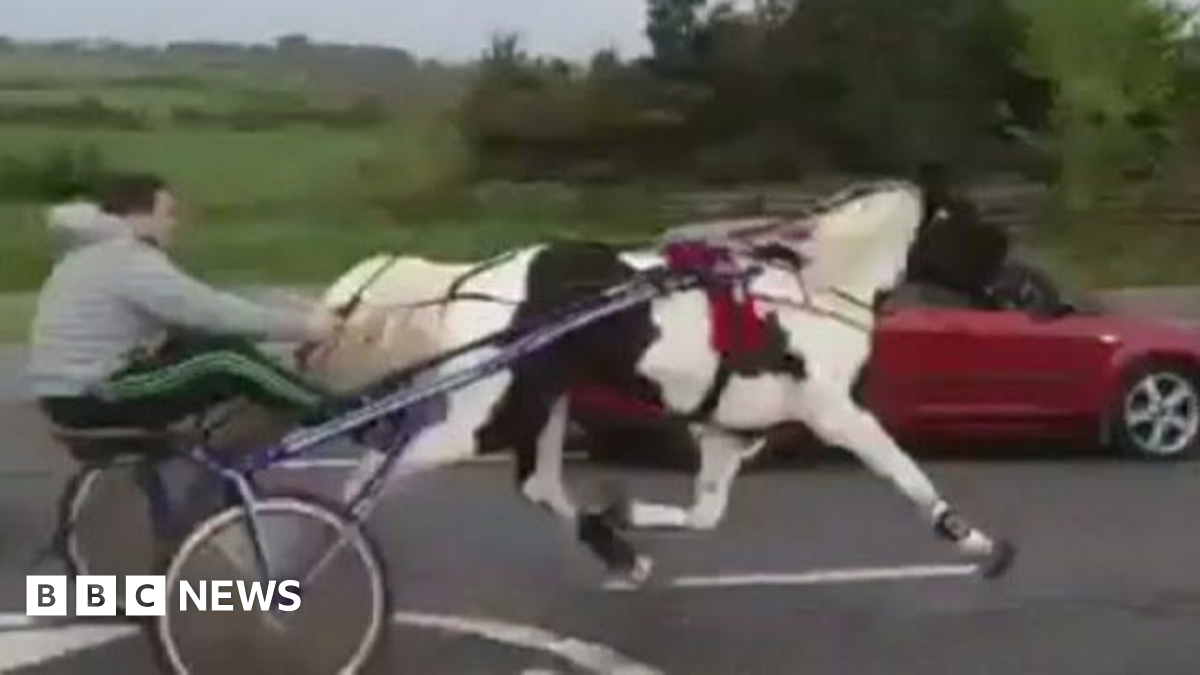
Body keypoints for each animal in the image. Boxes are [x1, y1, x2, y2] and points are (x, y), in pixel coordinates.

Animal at [303, 179, 1016, 586]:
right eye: (979, 231)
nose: (1026, 296)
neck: (810, 293)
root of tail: (473, 278)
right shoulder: (836, 413)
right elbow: (908, 476)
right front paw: (979, 544)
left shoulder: (732, 432)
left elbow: (704, 515)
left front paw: (618, 513)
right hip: (488, 414)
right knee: (374, 474)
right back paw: (322, 548)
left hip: (543, 406)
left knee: (539, 485)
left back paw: (621, 553)